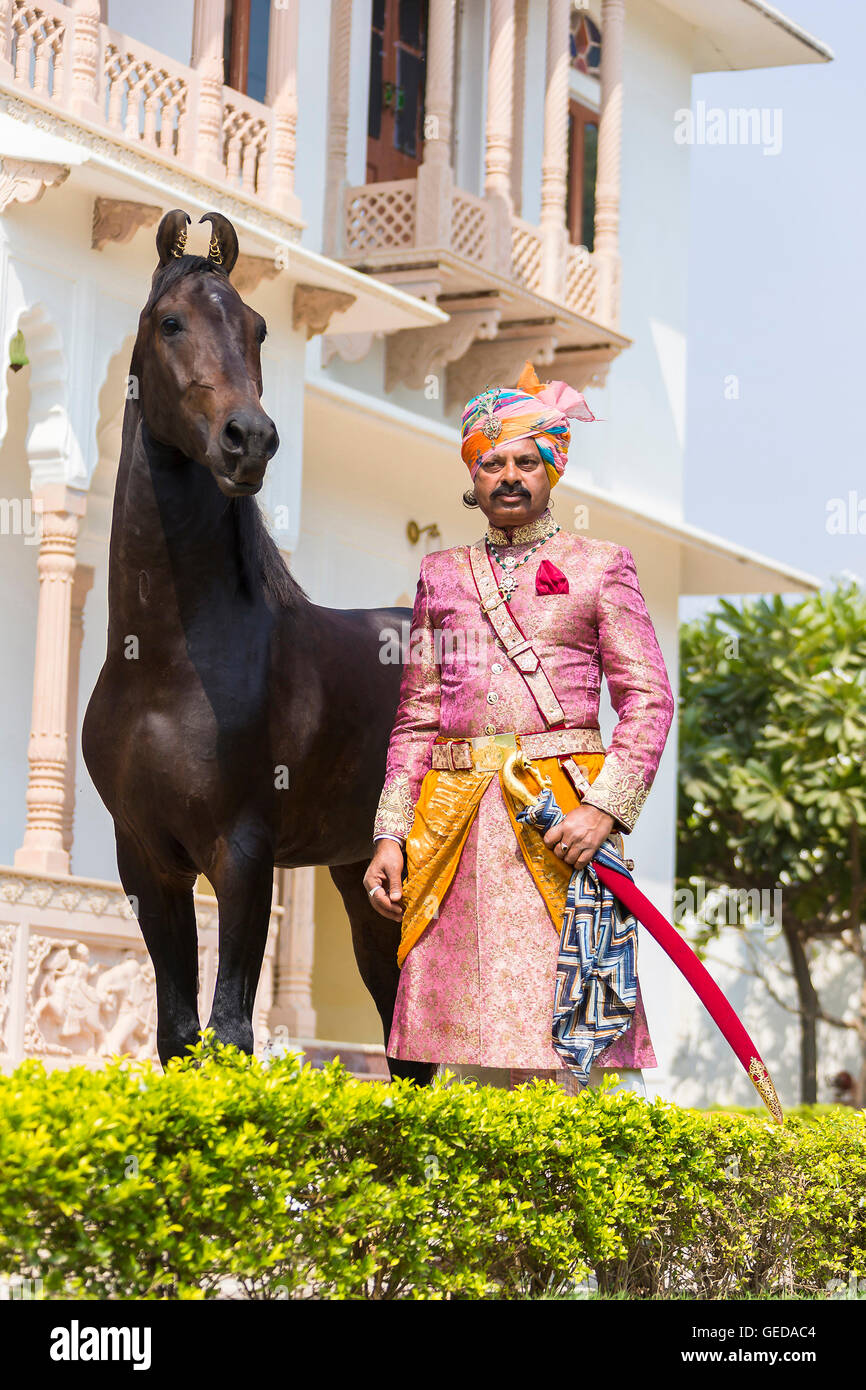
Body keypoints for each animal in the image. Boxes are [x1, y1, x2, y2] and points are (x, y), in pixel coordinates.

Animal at [82, 209, 433, 1085]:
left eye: (258, 328)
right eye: (170, 322)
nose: (251, 439)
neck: (167, 665)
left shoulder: (243, 859)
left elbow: (231, 1033)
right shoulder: (147, 862)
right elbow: (179, 1035)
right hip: (366, 884)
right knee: (407, 1051)